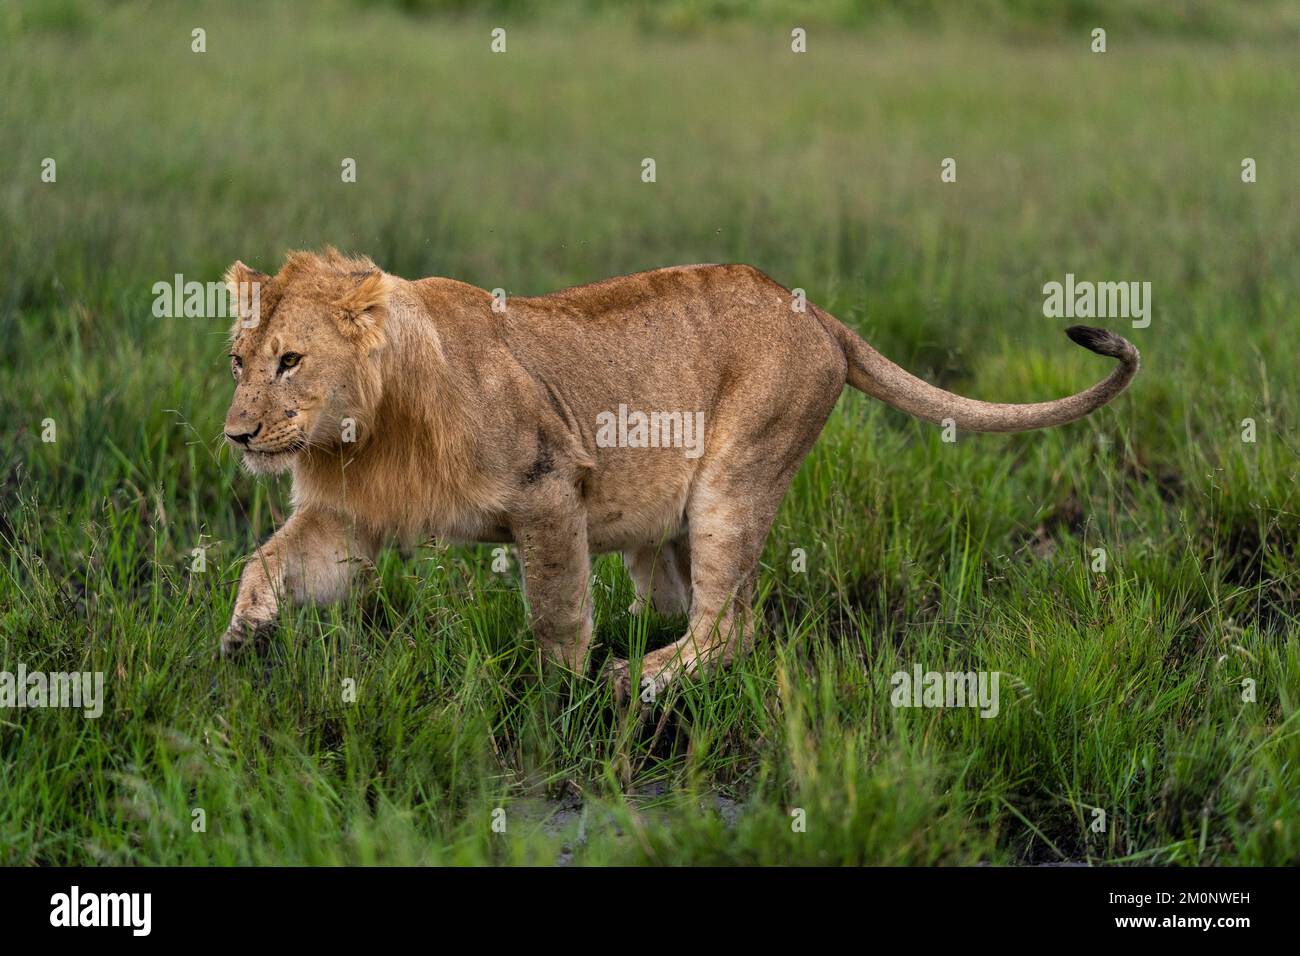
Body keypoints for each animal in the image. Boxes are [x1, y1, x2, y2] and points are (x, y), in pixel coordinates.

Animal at [219, 248, 1139, 699]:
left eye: (290, 361)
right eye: (238, 360)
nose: (236, 434)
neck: (363, 431)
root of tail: (816, 310)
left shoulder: (548, 487)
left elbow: (556, 611)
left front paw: (557, 697)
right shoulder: (350, 517)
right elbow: (265, 558)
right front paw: (245, 633)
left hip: (736, 476)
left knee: (732, 625)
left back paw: (644, 677)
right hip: (665, 524)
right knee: (701, 603)